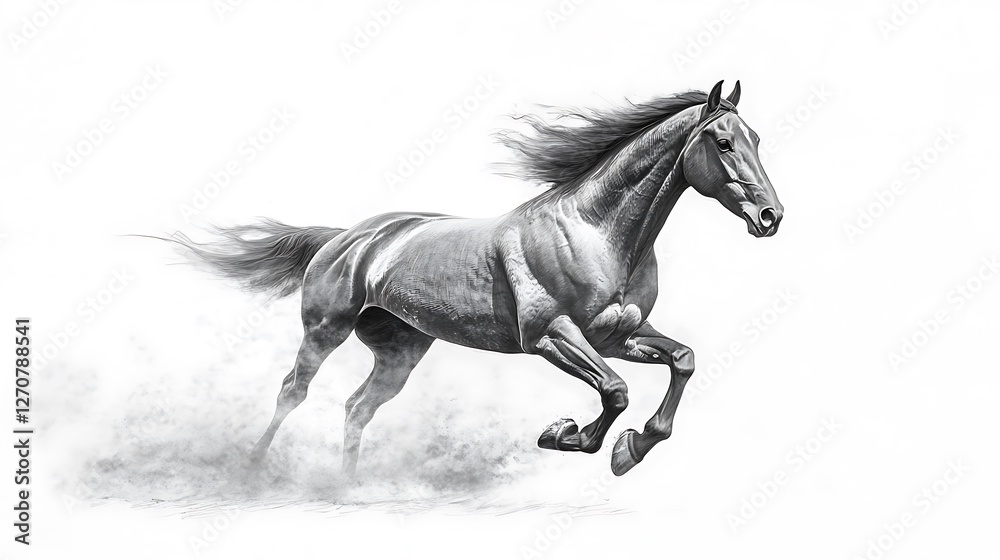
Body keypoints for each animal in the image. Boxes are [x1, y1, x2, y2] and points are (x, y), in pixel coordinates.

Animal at [171, 80, 783, 476]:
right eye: (723, 142)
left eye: (756, 139)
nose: (770, 217)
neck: (596, 231)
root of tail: (348, 237)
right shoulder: (550, 336)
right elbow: (614, 390)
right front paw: (568, 435)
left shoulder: (619, 335)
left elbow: (683, 361)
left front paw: (630, 447)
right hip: (325, 330)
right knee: (293, 391)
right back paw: (252, 470)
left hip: (399, 350)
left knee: (358, 407)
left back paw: (344, 488)